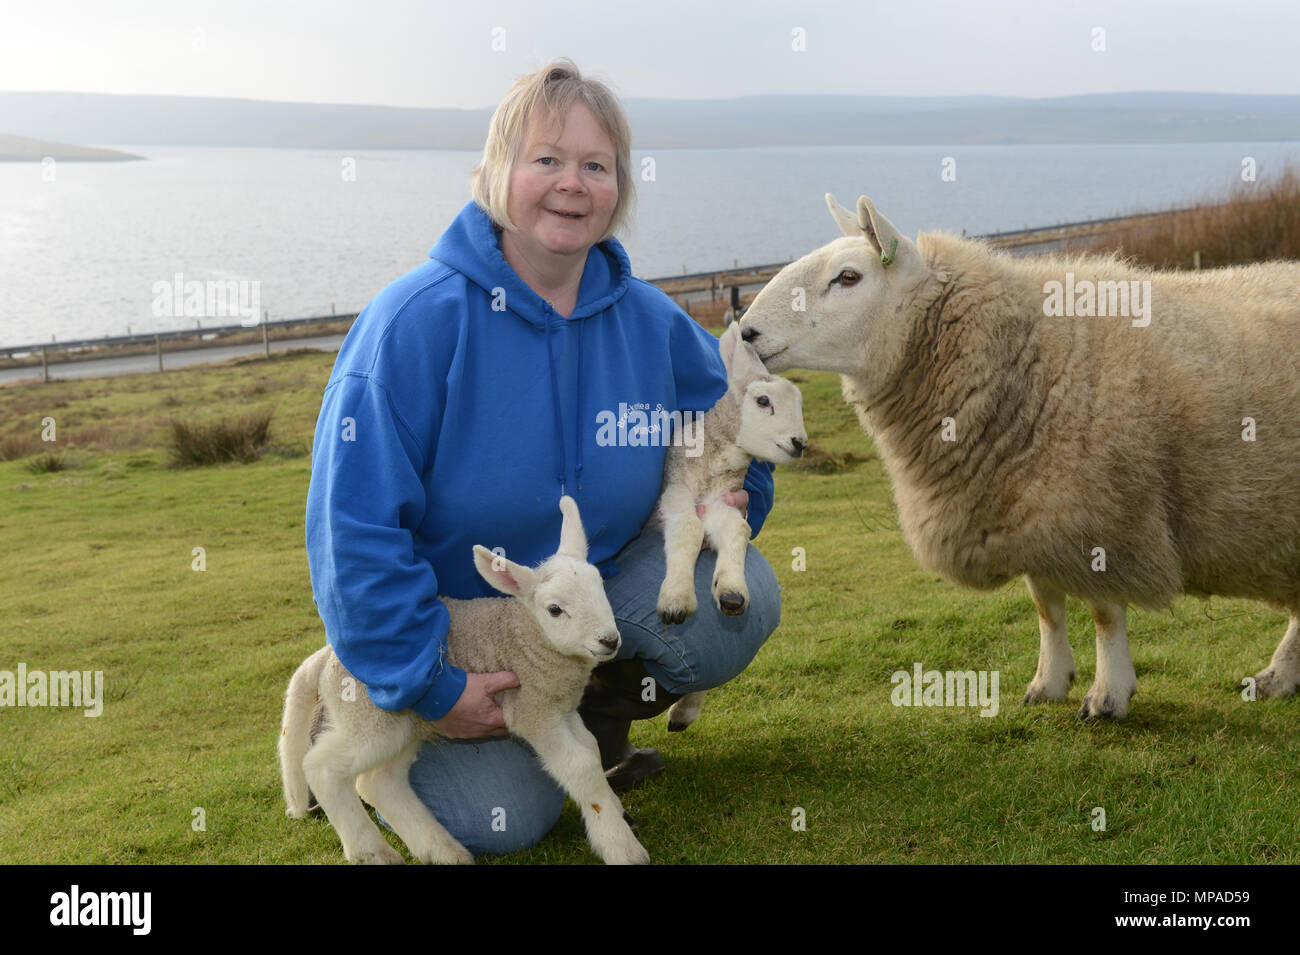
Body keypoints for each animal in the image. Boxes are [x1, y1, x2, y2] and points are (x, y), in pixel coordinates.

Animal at [279, 495, 650, 864]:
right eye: (555, 610)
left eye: (601, 587)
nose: (609, 641)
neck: (527, 635)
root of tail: (326, 657)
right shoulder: (533, 711)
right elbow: (581, 766)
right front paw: (619, 845)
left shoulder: (563, 708)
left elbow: (591, 749)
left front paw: (616, 813)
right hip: (369, 719)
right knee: (322, 768)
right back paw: (370, 851)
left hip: (408, 726)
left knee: (379, 782)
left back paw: (443, 850)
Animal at [652, 323, 807, 731]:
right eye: (763, 401)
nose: (799, 443)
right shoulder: (675, 493)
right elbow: (688, 528)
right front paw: (676, 599)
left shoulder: (723, 502)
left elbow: (738, 530)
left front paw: (732, 590)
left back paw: (685, 710)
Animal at [737, 191, 1300, 720]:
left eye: (848, 277)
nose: (745, 333)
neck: (1030, 358)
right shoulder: (1022, 505)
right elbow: (1045, 604)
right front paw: (1048, 683)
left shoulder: (1098, 511)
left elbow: (1104, 612)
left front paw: (1107, 696)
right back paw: (1280, 676)